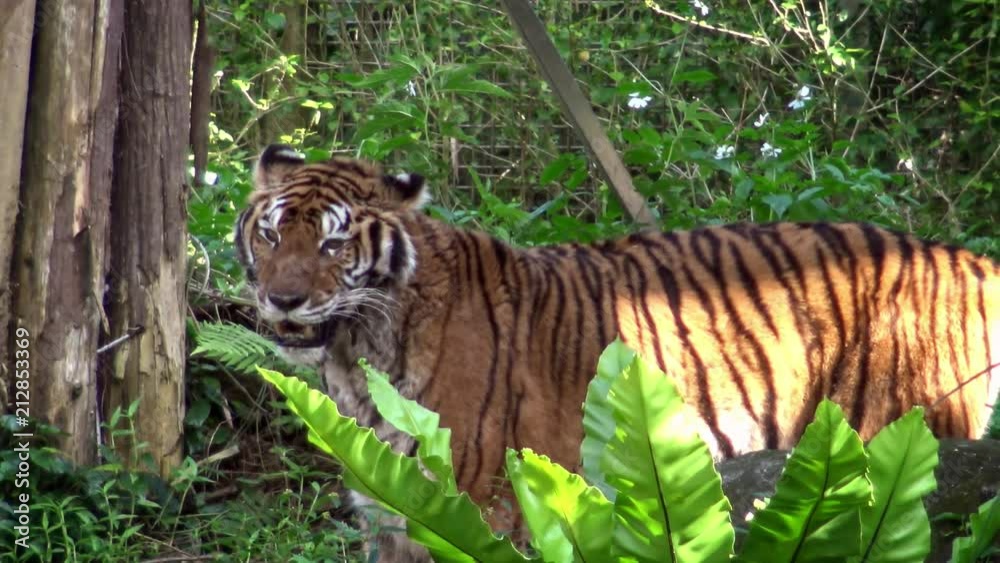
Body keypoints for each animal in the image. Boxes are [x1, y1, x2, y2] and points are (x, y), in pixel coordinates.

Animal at [236, 144, 1000, 562]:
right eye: (271, 236)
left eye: (334, 244)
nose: (283, 300)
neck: (356, 360)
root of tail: (962, 257)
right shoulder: (390, 512)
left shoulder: (481, 507)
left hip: (902, 458)